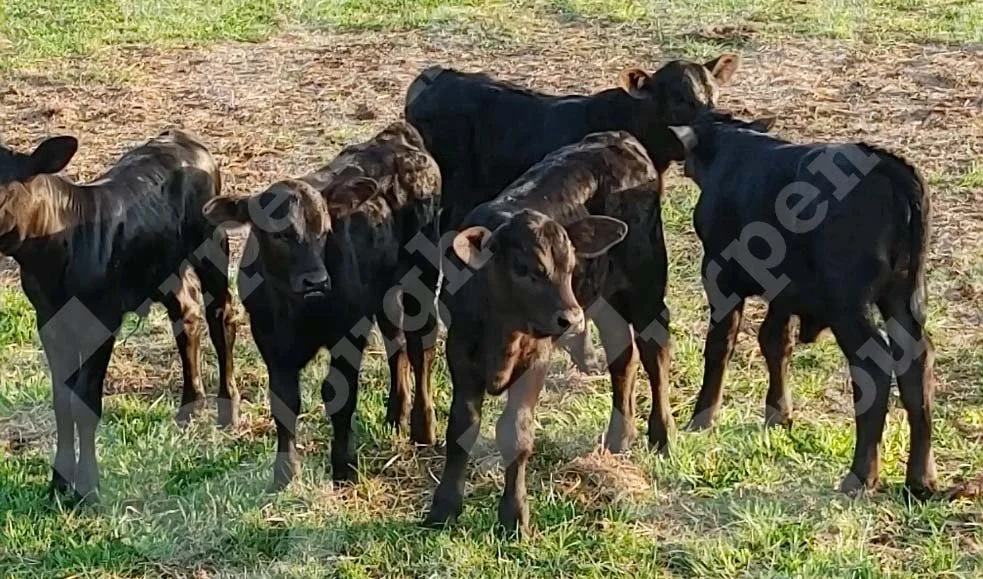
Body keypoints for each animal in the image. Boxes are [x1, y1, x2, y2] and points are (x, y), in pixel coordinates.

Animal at [0, 129, 238, 504]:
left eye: (3, 192)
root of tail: (182, 136)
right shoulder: (49, 321)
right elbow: (61, 402)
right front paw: (58, 485)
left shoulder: (101, 320)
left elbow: (84, 403)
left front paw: (88, 489)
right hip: (163, 267)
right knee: (186, 315)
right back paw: (189, 408)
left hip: (211, 242)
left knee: (221, 314)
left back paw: (228, 410)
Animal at [202, 122, 441, 488]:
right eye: (278, 234)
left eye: (325, 228)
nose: (316, 281)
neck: (297, 311)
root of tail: (395, 135)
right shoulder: (270, 341)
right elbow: (284, 401)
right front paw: (285, 473)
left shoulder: (349, 332)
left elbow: (339, 395)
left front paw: (344, 467)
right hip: (383, 290)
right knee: (396, 341)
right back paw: (394, 415)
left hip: (422, 274)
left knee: (420, 345)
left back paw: (422, 428)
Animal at [424, 131, 676, 536]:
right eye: (524, 268)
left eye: (569, 265)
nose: (570, 319)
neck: (502, 329)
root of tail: (619, 138)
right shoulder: (460, 352)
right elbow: (461, 428)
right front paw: (444, 507)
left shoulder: (536, 357)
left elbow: (515, 432)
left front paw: (514, 517)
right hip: (602, 294)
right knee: (623, 354)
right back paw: (619, 436)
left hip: (646, 282)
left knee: (656, 349)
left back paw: (662, 434)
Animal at [667, 112, 937, 497]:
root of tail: (887, 165)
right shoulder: (784, 291)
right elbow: (775, 342)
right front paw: (778, 414)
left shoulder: (719, 274)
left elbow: (720, 344)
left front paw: (701, 418)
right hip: (904, 297)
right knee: (917, 362)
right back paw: (920, 480)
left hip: (849, 305)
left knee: (874, 365)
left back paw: (859, 477)